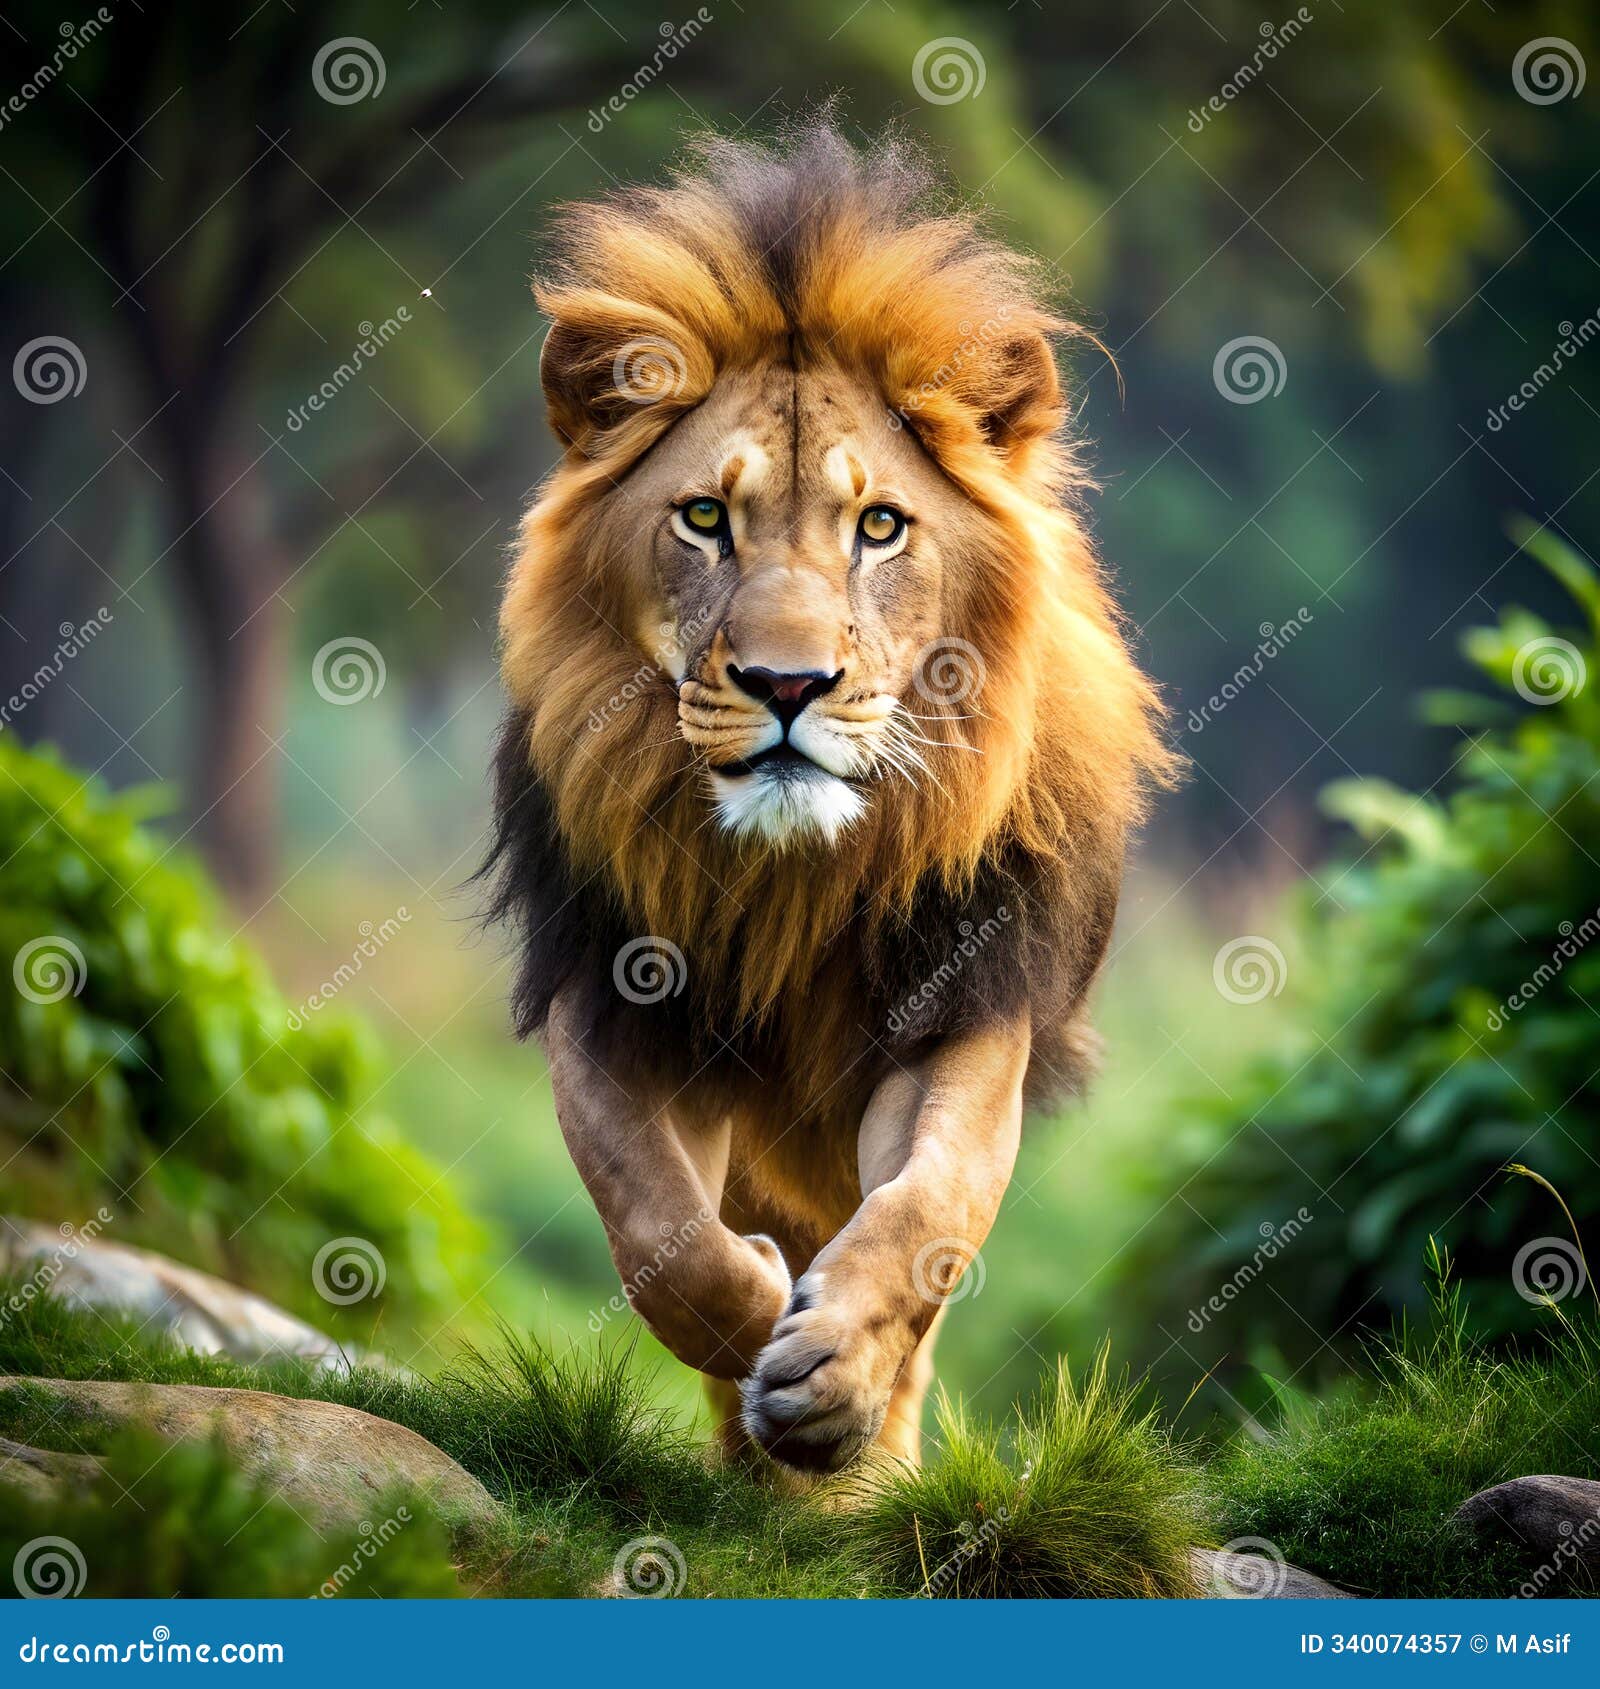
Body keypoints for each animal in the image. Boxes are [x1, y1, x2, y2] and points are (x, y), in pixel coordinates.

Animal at [484, 123, 1175, 1474]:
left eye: (880, 527)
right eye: (705, 518)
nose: (788, 683)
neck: (796, 872)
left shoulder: (967, 1008)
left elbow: (927, 1207)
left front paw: (834, 1377)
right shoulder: (614, 999)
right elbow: (659, 1233)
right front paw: (761, 1323)